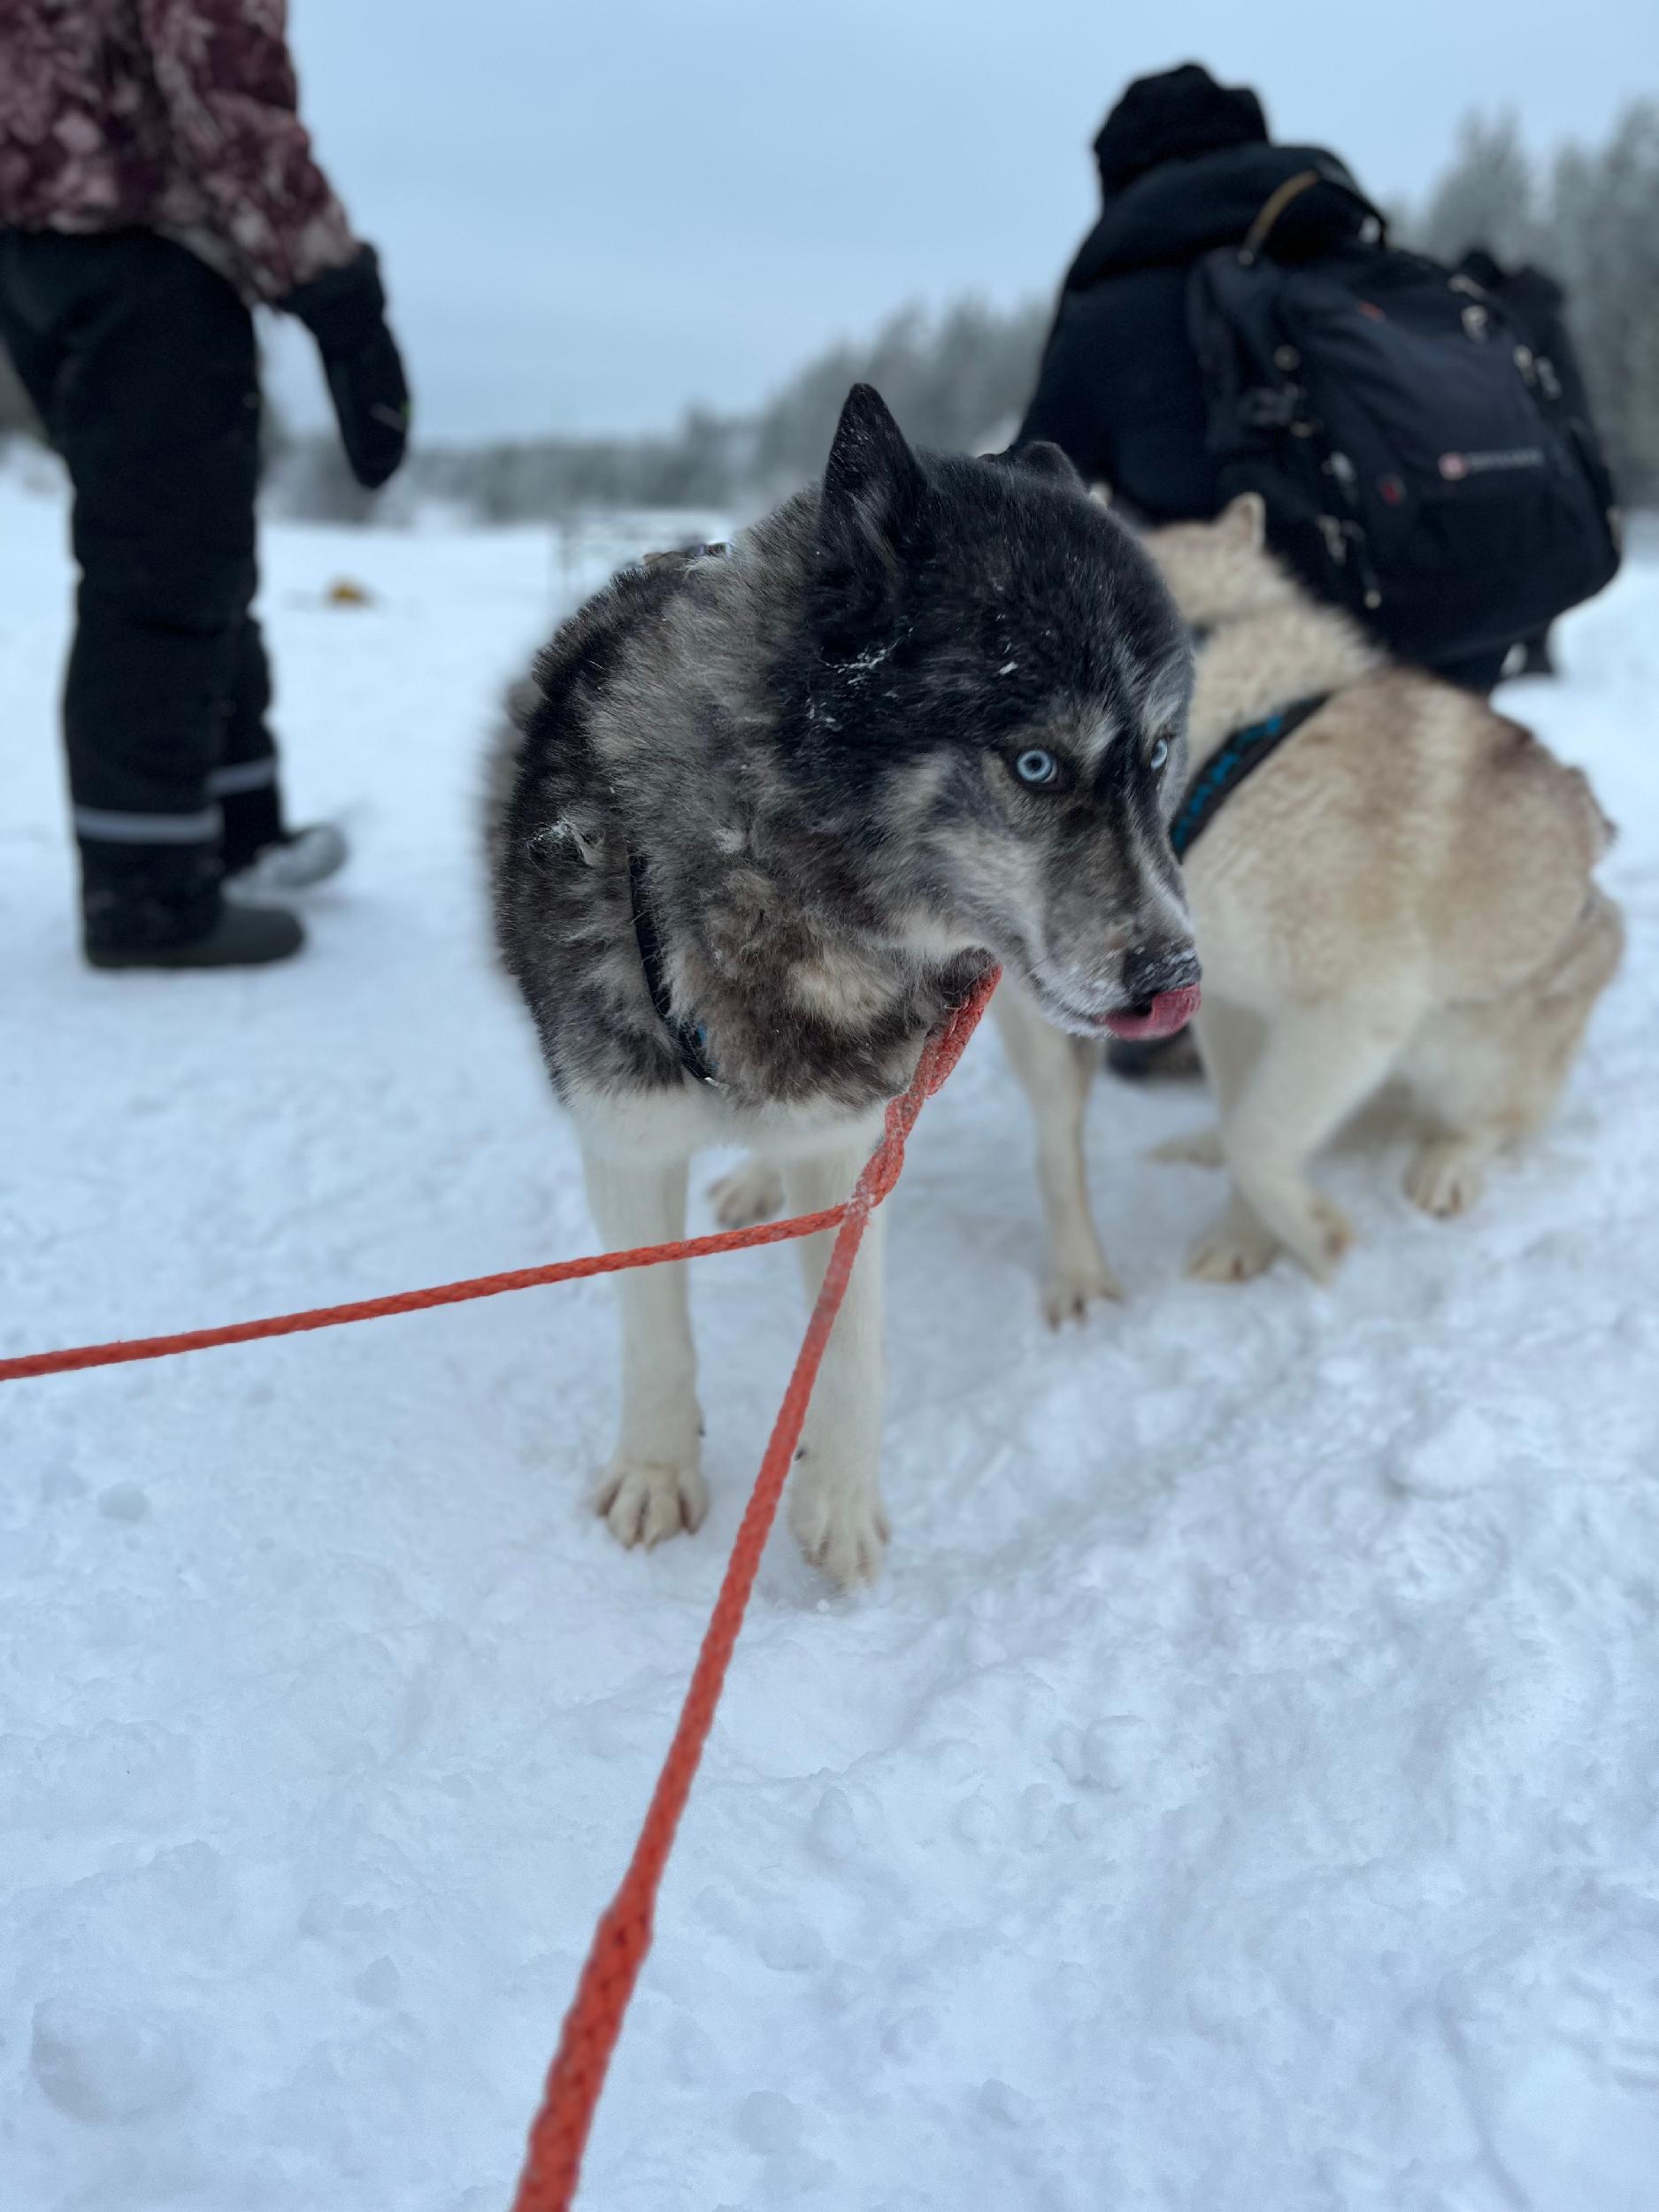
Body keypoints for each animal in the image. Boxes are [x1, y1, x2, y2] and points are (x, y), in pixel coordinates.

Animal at [487, 385, 1203, 1593]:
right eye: (1037, 764)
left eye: (1158, 752)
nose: (1177, 976)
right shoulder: (625, 1134)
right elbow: (653, 1326)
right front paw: (658, 1467)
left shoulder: (850, 1147)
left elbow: (850, 1335)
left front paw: (837, 1499)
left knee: (1057, 1147)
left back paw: (1076, 1269)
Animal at [1000, 497, 1628, 1292]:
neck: (1225, 750)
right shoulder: (1233, 1006)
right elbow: (1247, 1123)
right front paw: (1246, 1234)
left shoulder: (1352, 1013)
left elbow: (1259, 1136)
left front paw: (1307, 1235)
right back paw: (1204, 1142)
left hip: (1462, 1045)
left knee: (1481, 1122)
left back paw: (1445, 1165)